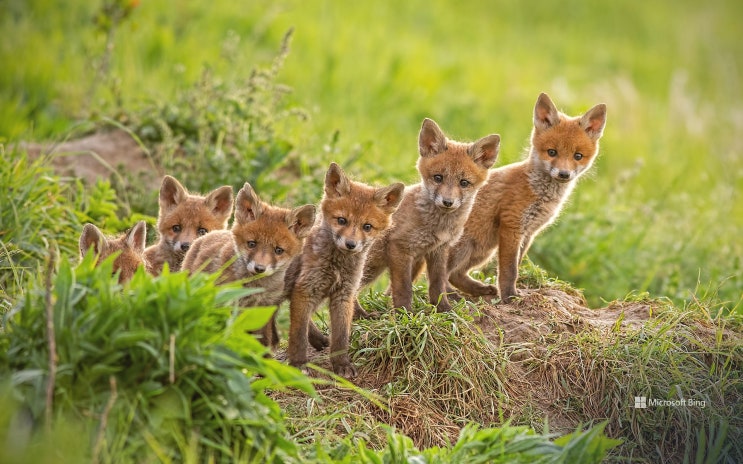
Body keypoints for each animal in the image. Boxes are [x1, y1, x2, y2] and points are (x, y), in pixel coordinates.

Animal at [181, 183, 316, 348]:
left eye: (278, 250)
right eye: (252, 244)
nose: (259, 268)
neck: (255, 289)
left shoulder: (264, 308)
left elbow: (263, 340)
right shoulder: (229, 303)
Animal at [285, 162, 404, 377]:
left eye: (367, 226)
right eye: (341, 220)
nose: (351, 244)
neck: (337, 266)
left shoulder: (344, 294)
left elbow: (341, 336)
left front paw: (341, 364)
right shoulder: (305, 289)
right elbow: (297, 334)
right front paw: (298, 363)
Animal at [355, 118, 499, 314]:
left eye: (464, 183)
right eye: (438, 178)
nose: (448, 202)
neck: (437, 226)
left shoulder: (438, 250)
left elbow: (437, 285)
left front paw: (444, 309)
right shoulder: (399, 248)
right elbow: (404, 288)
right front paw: (404, 313)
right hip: (370, 266)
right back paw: (360, 315)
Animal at [447, 92, 607, 302]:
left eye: (578, 156)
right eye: (552, 152)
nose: (564, 174)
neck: (539, 193)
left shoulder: (529, 233)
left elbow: (517, 264)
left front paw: (510, 294)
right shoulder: (512, 225)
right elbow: (509, 270)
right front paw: (510, 297)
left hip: (481, 249)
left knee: (455, 274)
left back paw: (478, 290)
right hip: (466, 247)